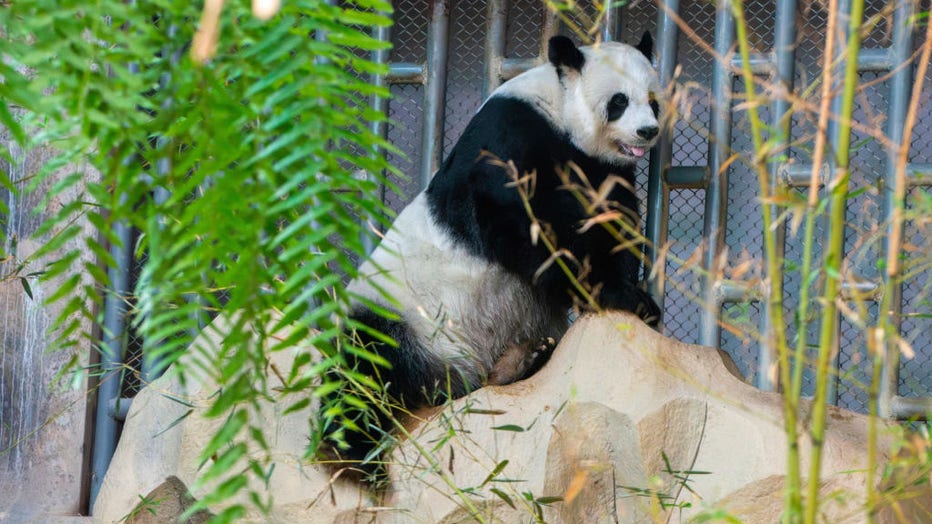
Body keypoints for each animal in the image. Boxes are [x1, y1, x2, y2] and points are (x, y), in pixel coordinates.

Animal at [323, 33, 664, 473]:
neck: (557, 110)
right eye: (619, 100)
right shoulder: (511, 139)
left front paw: (634, 297)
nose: (647, 131)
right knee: (363, 371)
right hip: (396, 312)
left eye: (653, 100)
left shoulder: (601, 170)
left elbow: (613, 223)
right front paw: (611, 293)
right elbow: (517, 226)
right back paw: (353, 452)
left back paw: (525, 360)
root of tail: (453, 377)